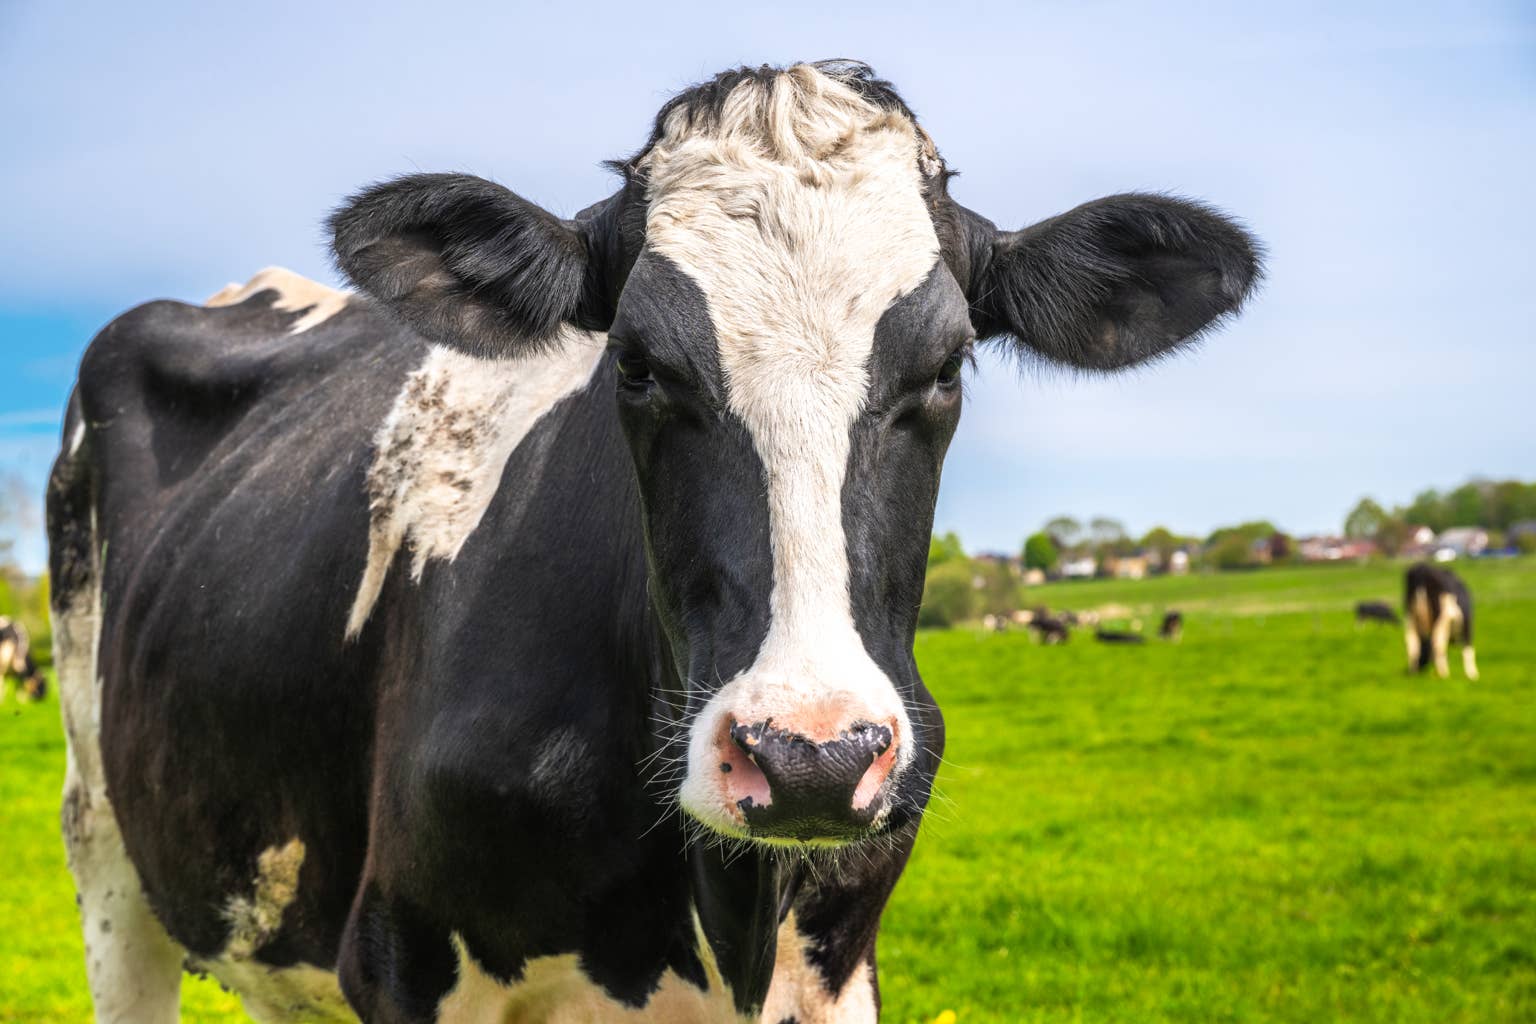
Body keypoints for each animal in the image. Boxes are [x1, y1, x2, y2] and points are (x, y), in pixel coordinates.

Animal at [47, 61, 1259, 1023]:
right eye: (632, 362)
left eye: (949, 365)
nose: (809, 756)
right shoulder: (401, 955)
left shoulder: (837, 964)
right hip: (102, 843)